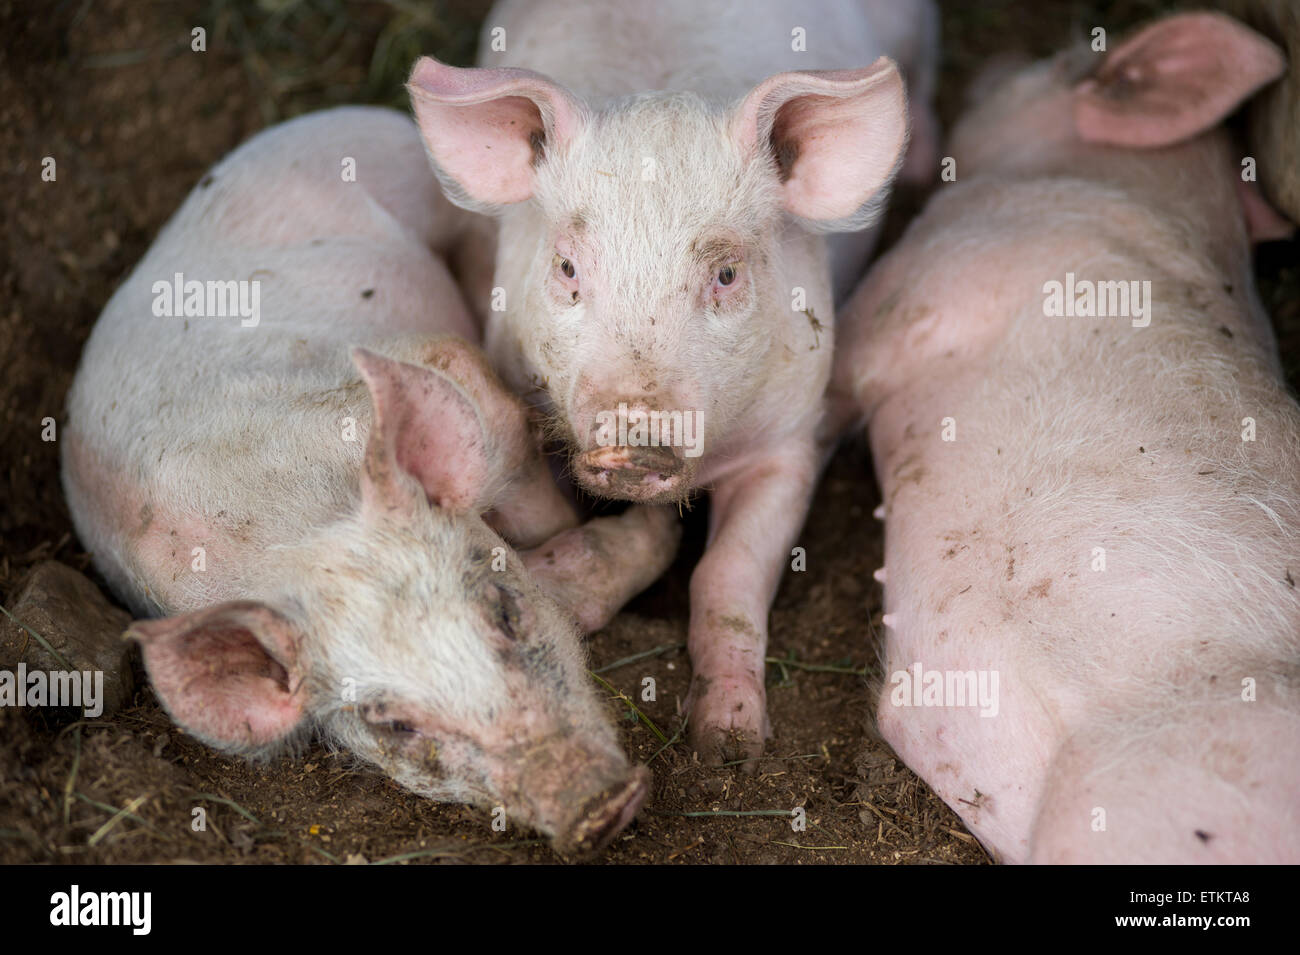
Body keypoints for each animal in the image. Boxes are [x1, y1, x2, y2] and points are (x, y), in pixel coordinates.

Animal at [61, 106, 680, 855]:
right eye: (392, 724)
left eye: (502, 608)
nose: (600, 804)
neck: (294, 532)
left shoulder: (447, 372)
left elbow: (526, 481)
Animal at [406, 0, 938, 764]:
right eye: (567, 267)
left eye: (727, 273)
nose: (636, 433)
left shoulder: (790, 442)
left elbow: (728, 572)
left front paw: (730, 740)